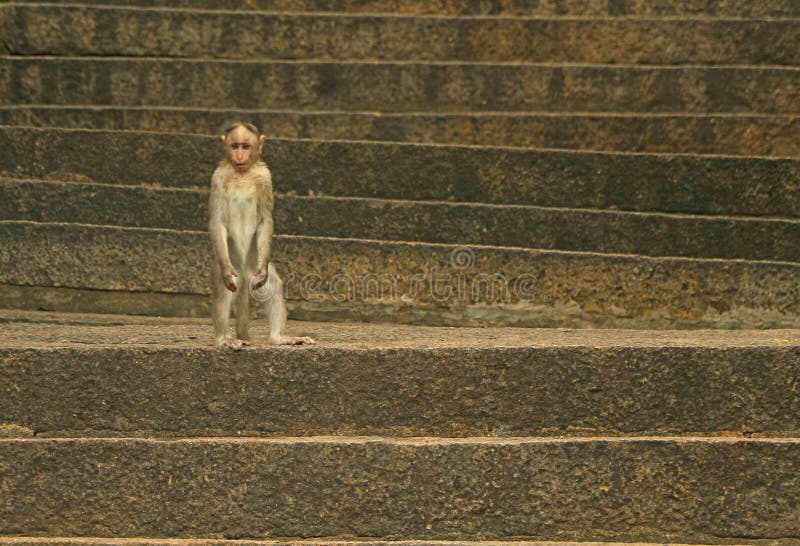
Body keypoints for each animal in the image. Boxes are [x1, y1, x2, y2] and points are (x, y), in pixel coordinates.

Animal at [209, 121, 315, 350]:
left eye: (246, 146)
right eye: (234, 145)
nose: (239, 155)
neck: (242, 174)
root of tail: (244, 273)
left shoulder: (265, 178)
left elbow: (265, 219)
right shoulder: (217, 178)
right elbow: (217, 221)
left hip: (253, 269)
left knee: (272, 286)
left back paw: (278, 337)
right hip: (233, 270)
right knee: (224, 291)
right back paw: (223, 340)